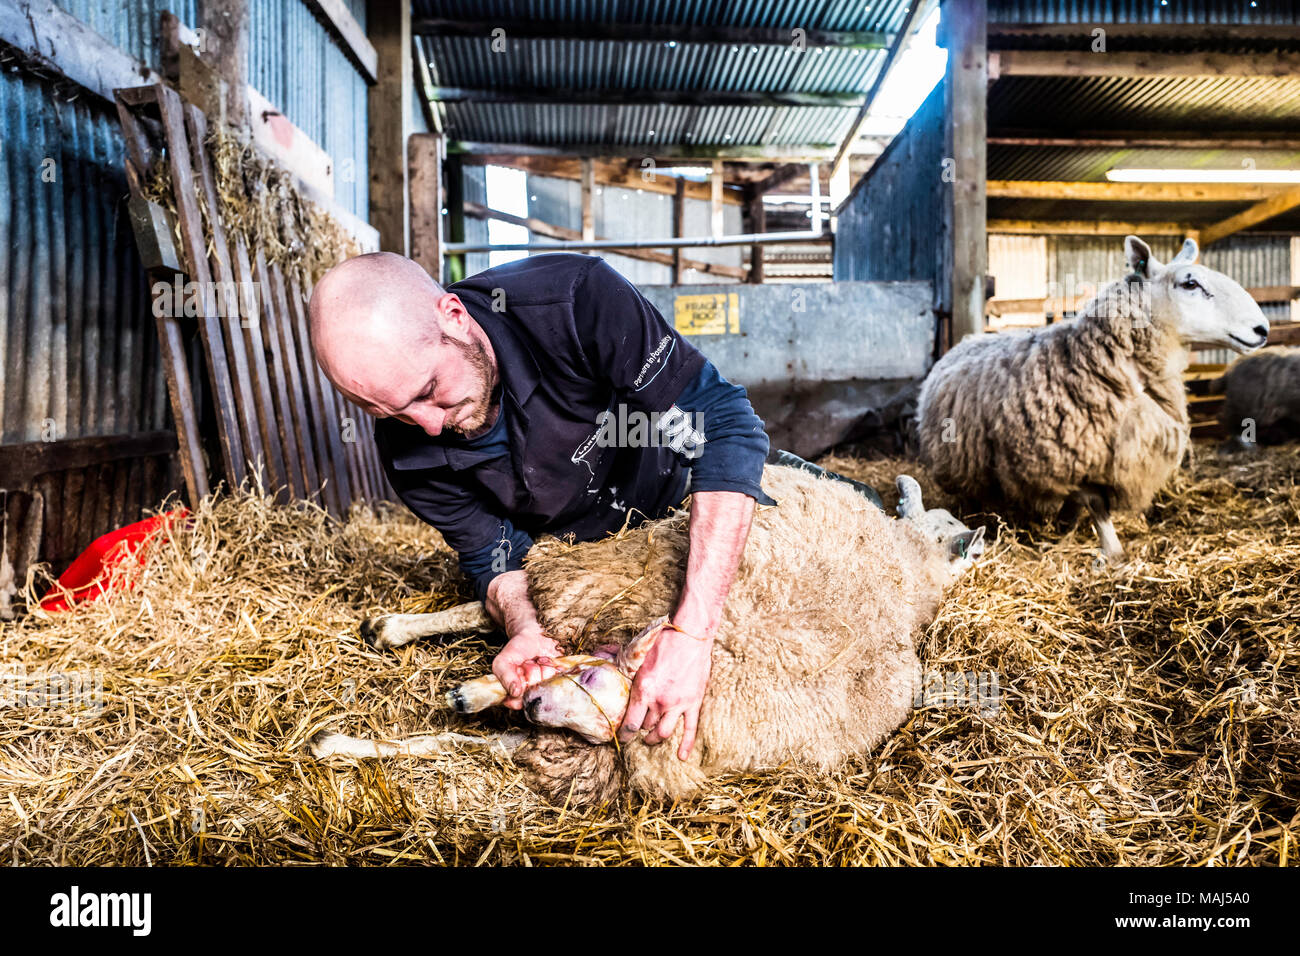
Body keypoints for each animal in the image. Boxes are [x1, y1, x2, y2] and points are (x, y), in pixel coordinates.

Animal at [310, 464, 987, 807]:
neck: (908, 555)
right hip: (616, 569)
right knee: (505, 623)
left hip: (591, 656)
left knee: (490, 716)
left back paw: (354, 729)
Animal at [916, 235, 1270, 561]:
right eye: (1190, 283)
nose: (1262, 329)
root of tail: (965, 340)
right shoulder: (1078, 453)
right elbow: (1097, 504)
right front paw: (1113, 551)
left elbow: (1080, 502)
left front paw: (1067, 527)